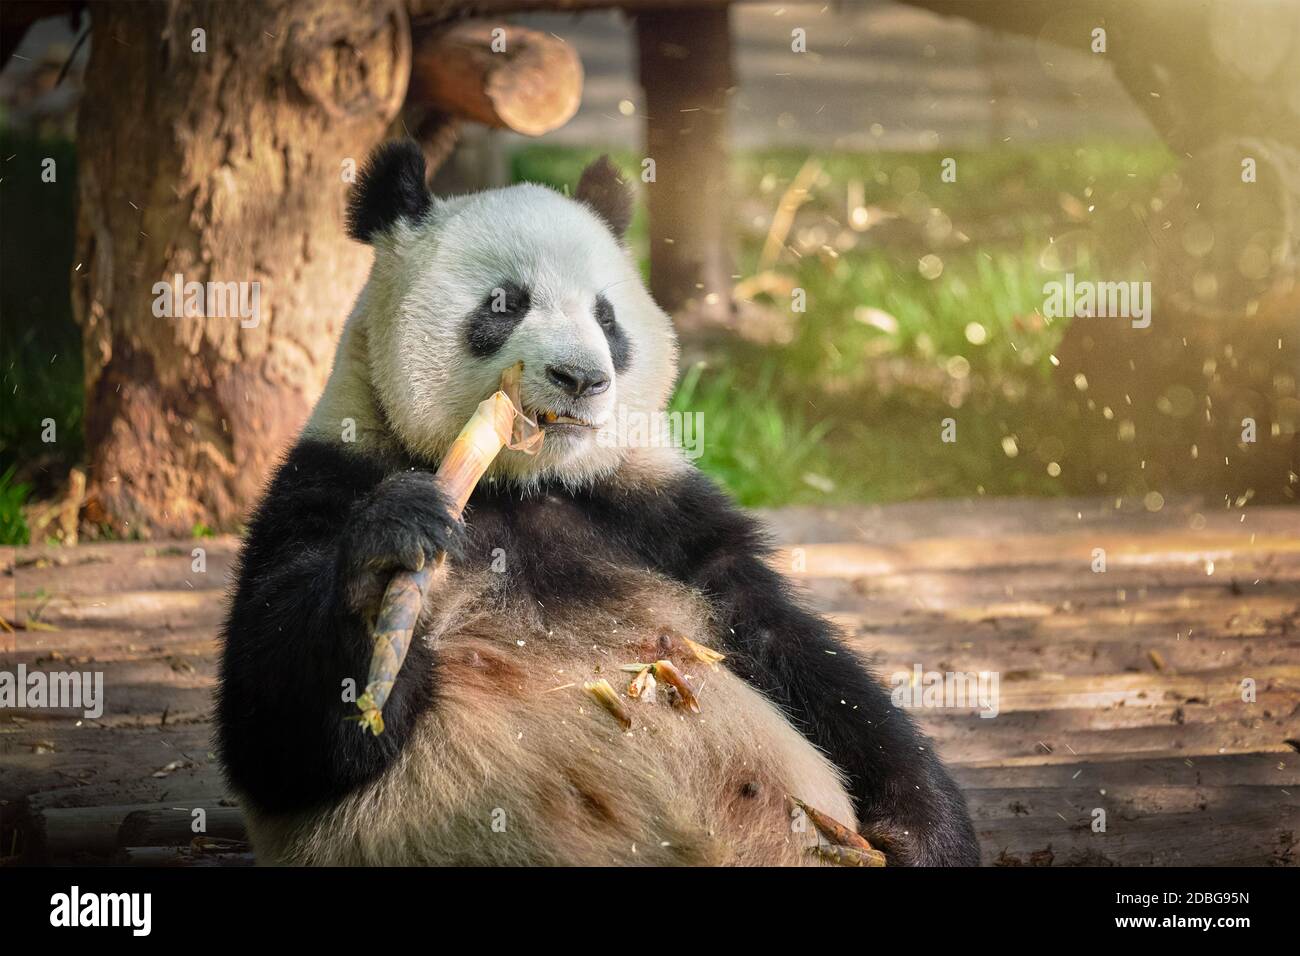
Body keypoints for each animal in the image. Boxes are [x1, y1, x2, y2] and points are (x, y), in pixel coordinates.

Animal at [216, 141, 980, 866]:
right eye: (504, 304)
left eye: (606, 318)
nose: (581, 378)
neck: (520, 484)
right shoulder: (324, 482)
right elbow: (279, 738)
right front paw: (392, 557)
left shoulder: (652, 509)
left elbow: (795, 651)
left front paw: (925, 831)